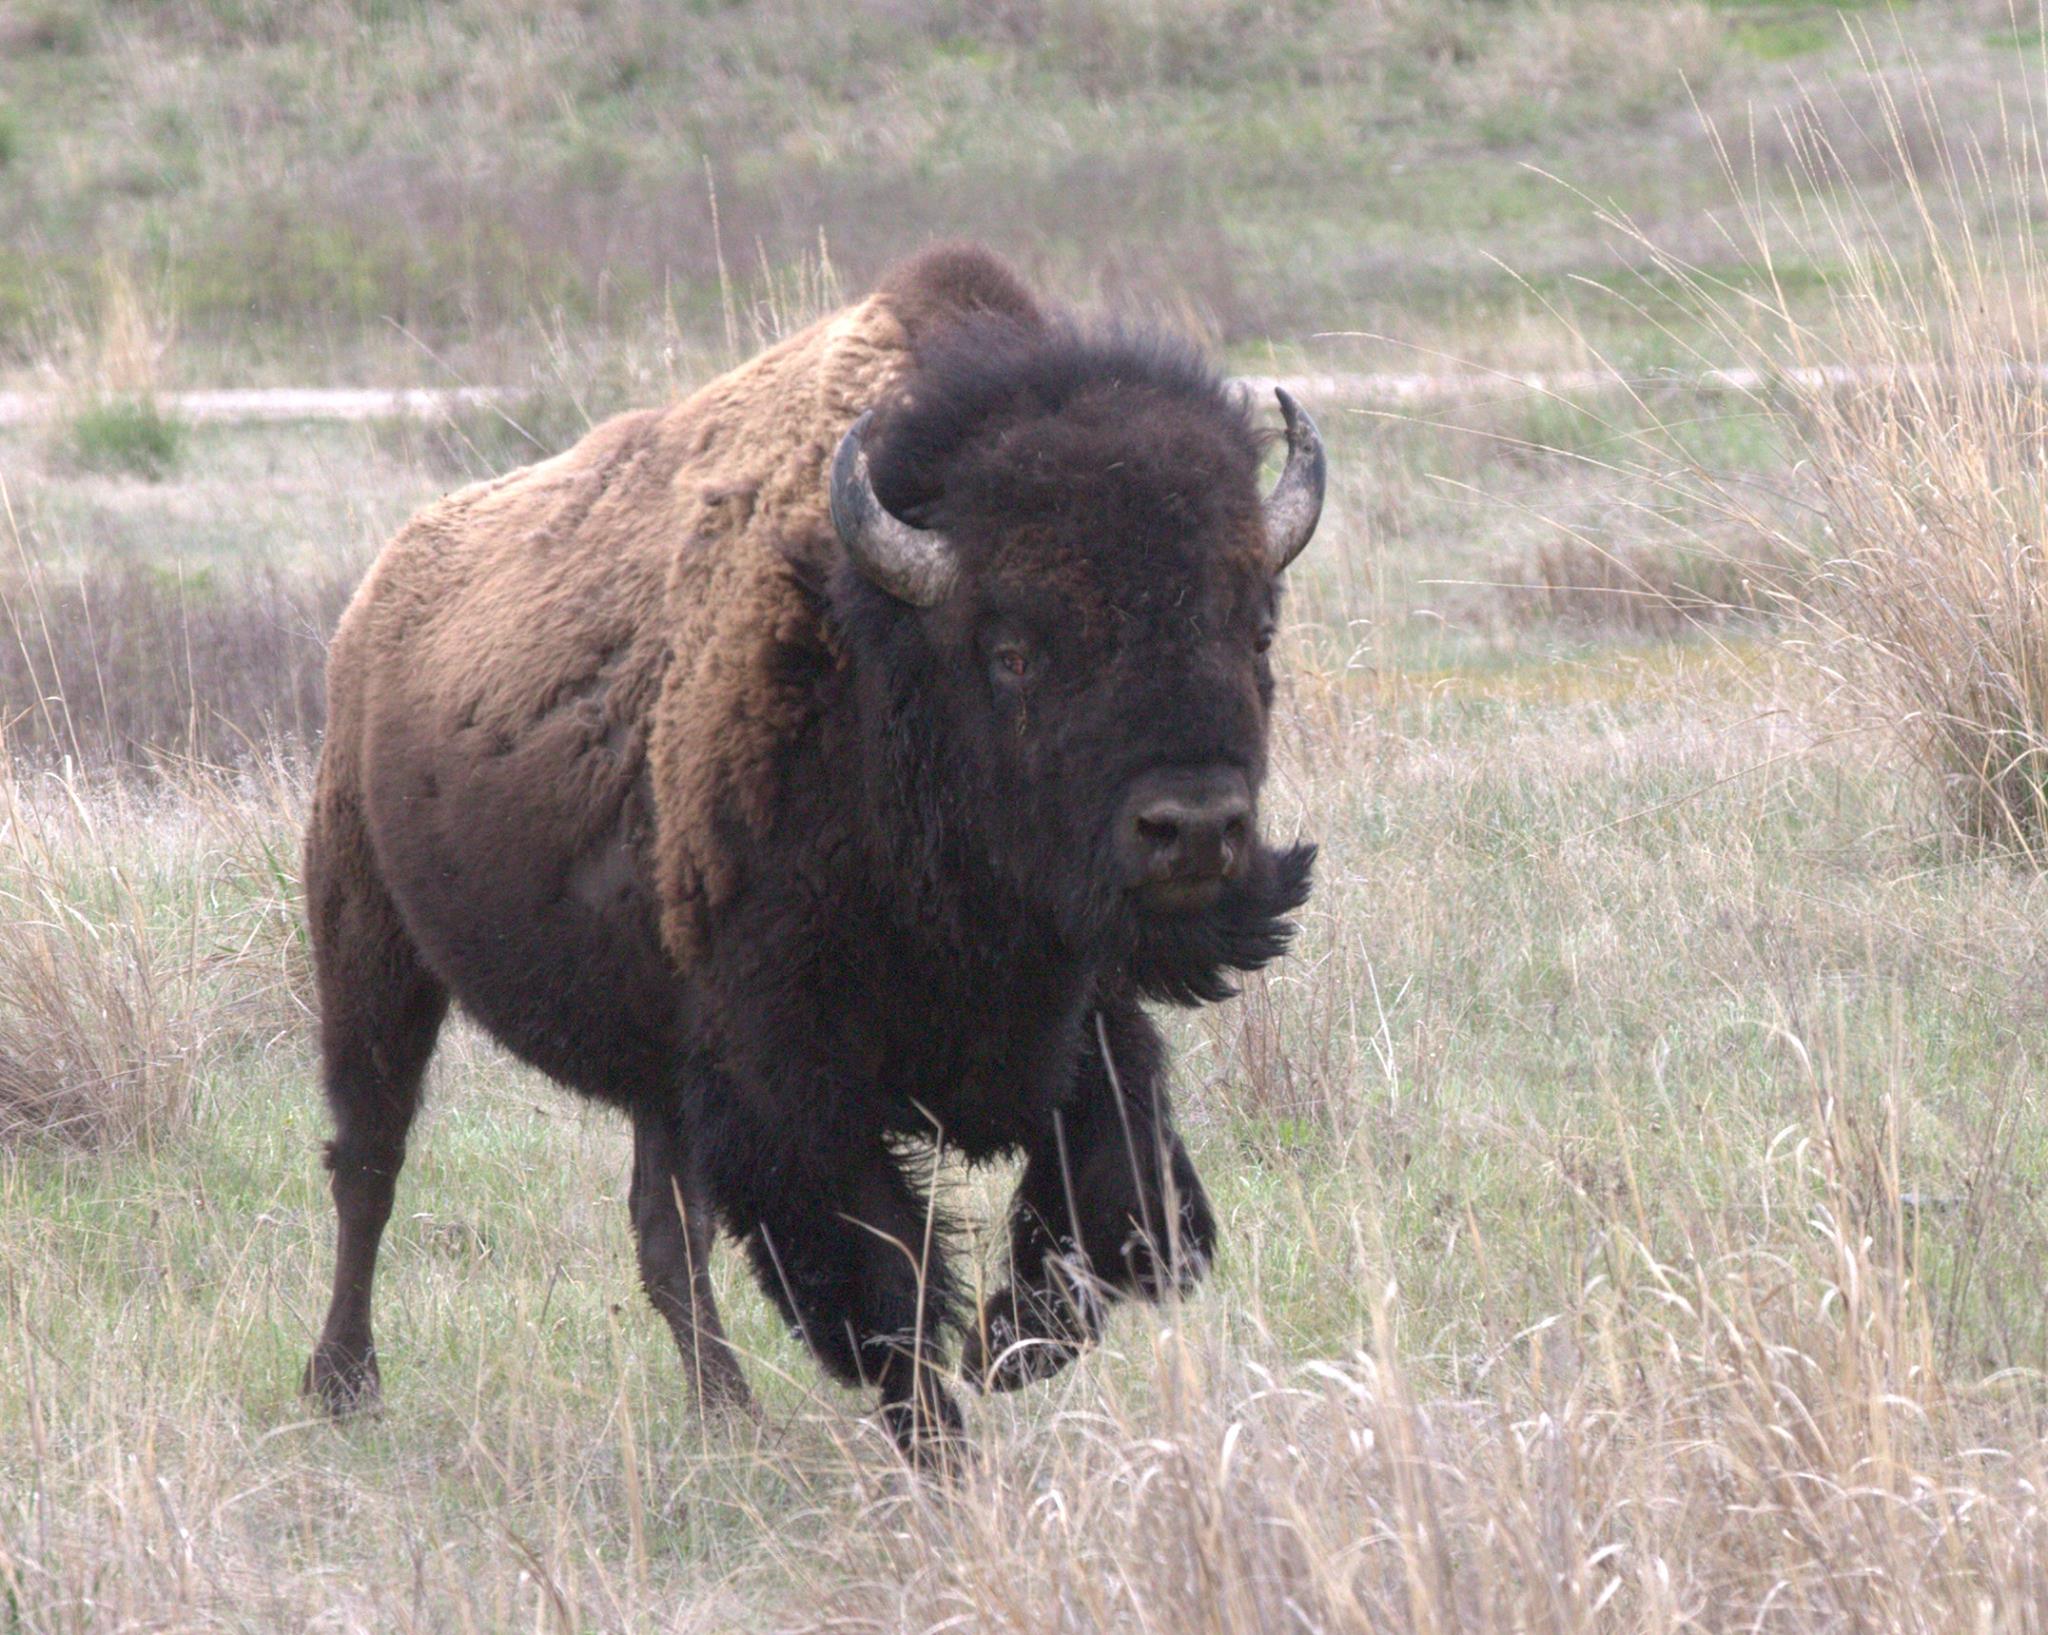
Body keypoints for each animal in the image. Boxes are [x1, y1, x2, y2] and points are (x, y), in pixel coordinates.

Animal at [303, 245, 1323, 1460]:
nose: (1195, 826)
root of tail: (374, 605)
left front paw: (1007, 1345)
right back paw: (342, 1383)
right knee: (370, 1163)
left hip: (657, 1062)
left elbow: (1129, 1214)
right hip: (369, 945)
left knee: (663, 1231)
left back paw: (726, 1411)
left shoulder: (1074, 1022)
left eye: (1256, 626)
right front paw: (943, 1441)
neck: (880, 660)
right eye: (1013, 650)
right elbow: (884, 1286)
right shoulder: (789, 1075)